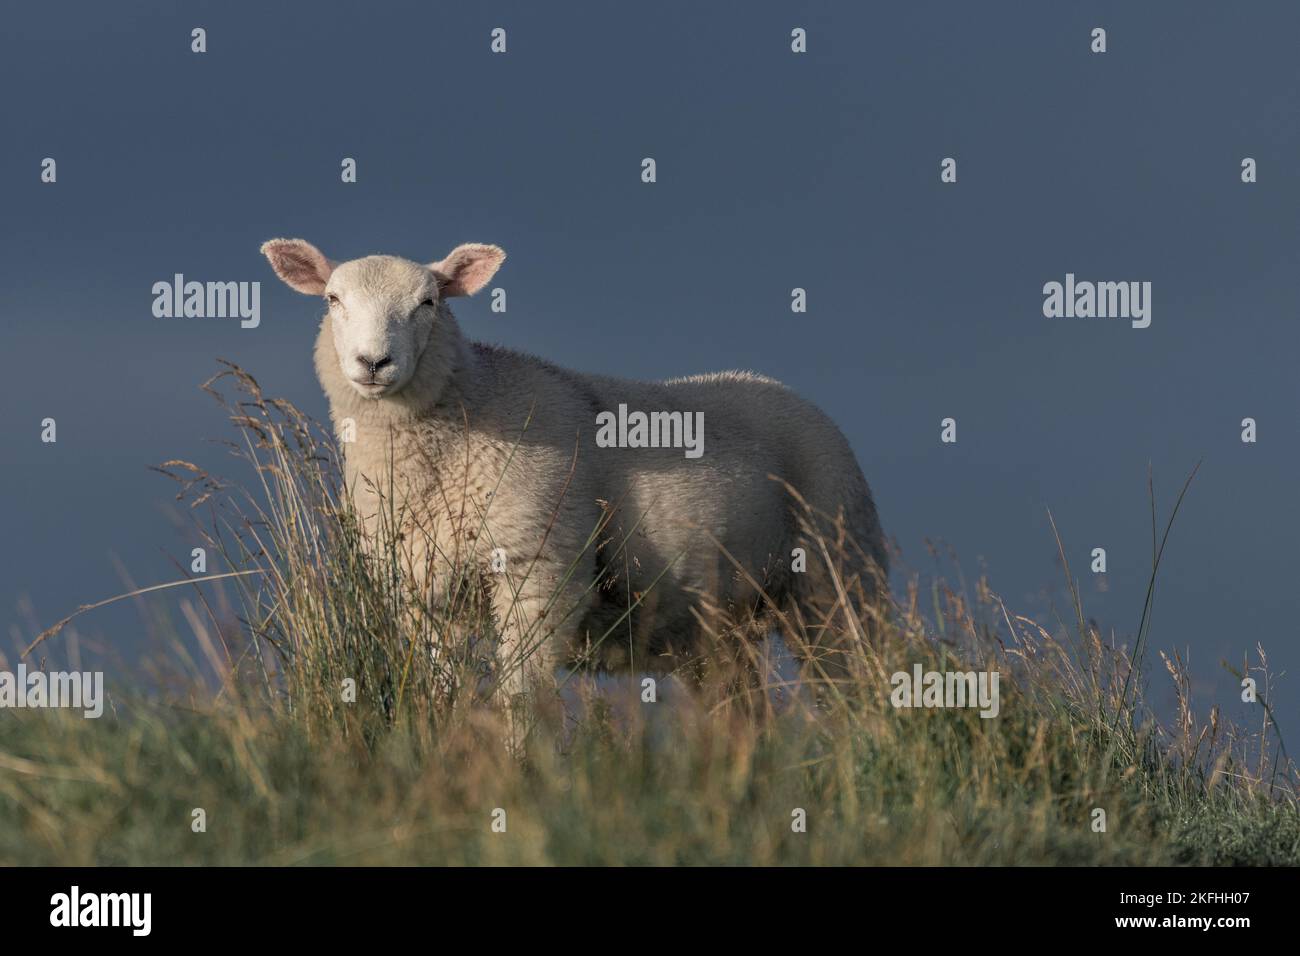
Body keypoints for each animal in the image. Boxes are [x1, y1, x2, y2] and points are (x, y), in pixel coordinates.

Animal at [260, 238, 887, 713]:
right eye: (333, 299)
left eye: (429, 302)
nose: (373, 362)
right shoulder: (420, 594)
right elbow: (439, 692)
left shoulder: (538, 568)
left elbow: (520, 697)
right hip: (719, 626)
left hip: (837, 576)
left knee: (859, 686)